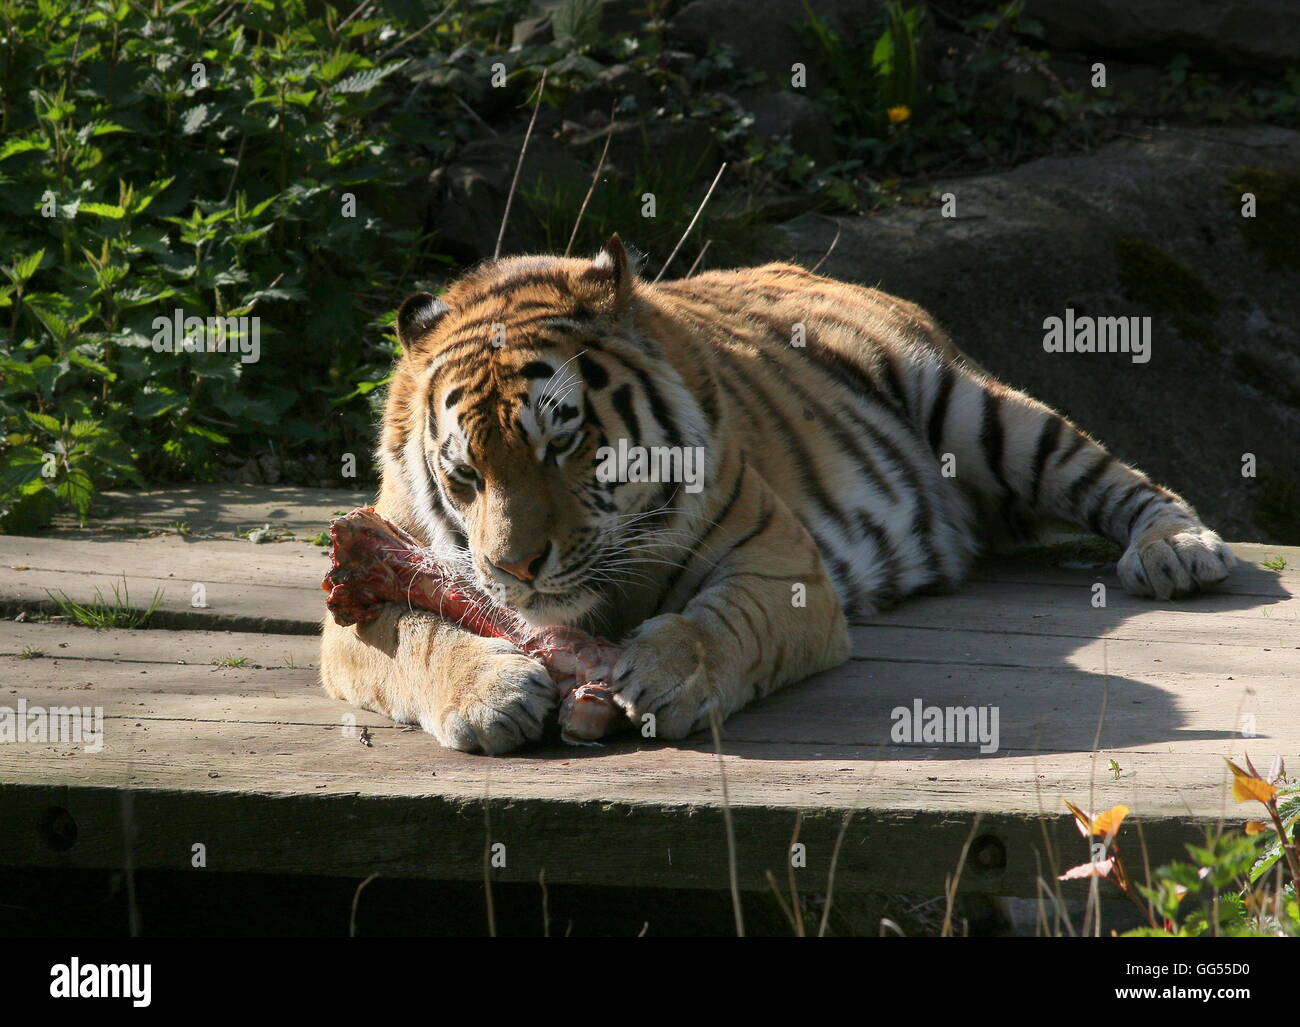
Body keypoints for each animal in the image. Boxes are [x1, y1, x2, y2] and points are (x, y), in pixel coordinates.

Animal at [319, 234, 1236, 754]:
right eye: (465, 473)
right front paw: (492, 695)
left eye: (563, 442)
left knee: (1119, 477)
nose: (514, 569)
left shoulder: (780, 559)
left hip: (977, 408)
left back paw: (1177, 552)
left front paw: (667, 675)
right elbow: (415, 636)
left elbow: (723, 624)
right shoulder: (357, 606)